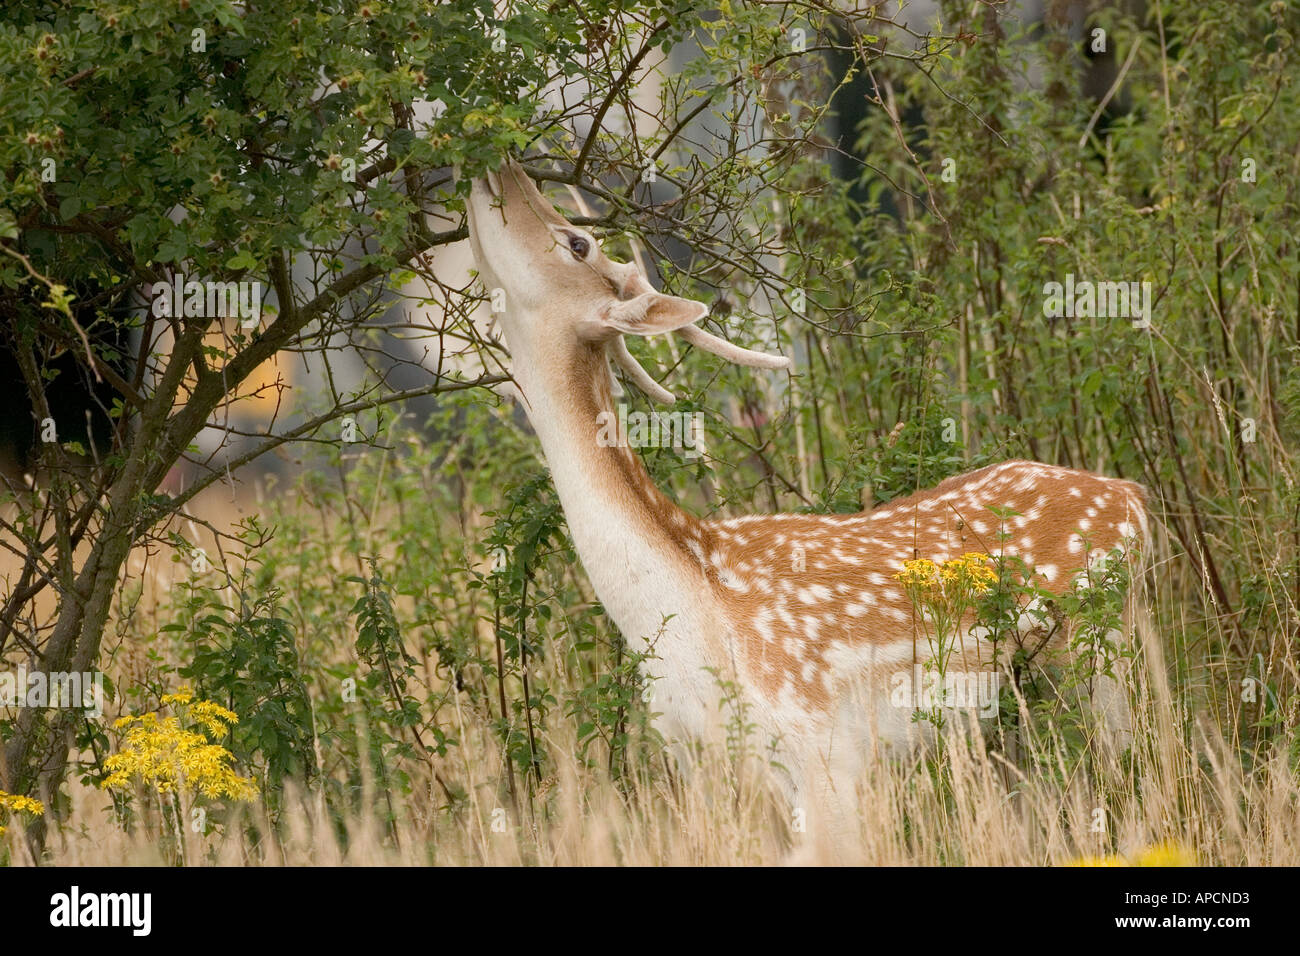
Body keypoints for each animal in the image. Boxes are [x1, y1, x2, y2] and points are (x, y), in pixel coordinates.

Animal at [465, 158, 1148, 855]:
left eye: (578, 241)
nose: (499, 167)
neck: (690, 613)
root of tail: (1134, 497)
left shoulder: (821, 749)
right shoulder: (706, 774)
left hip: (1102, 661)